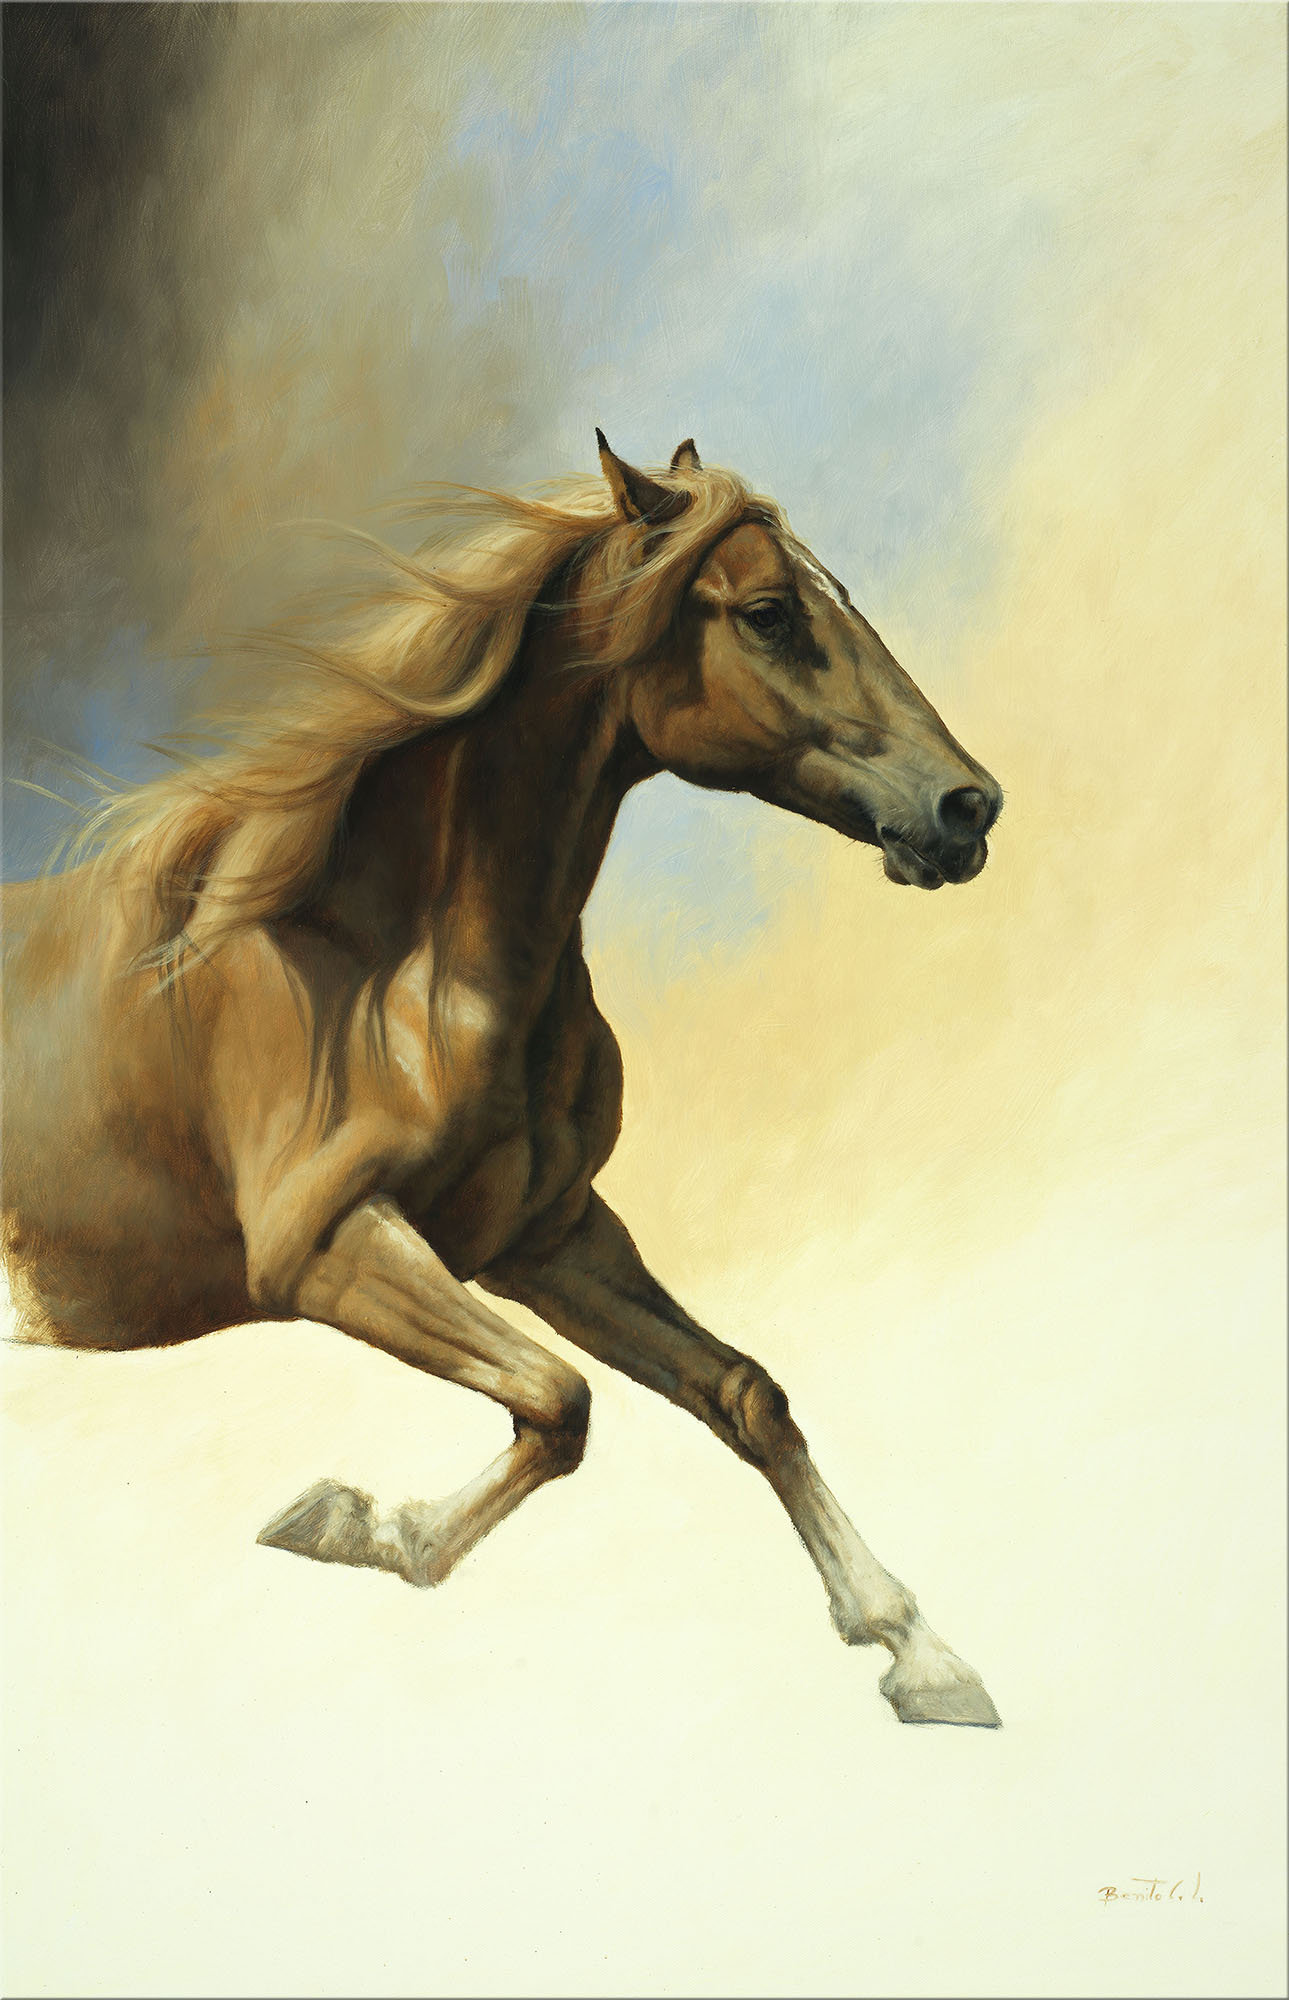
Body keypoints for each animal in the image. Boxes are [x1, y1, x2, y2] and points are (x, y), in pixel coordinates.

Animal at [2, 433, 1004, 1727]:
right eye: (769, 612)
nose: (966, 807)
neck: (383, 962)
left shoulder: (546, 1234)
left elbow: (742, 1392)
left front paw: (917, 1651)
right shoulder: (325, 1246)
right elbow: (559, 1396)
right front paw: (356, 1523)